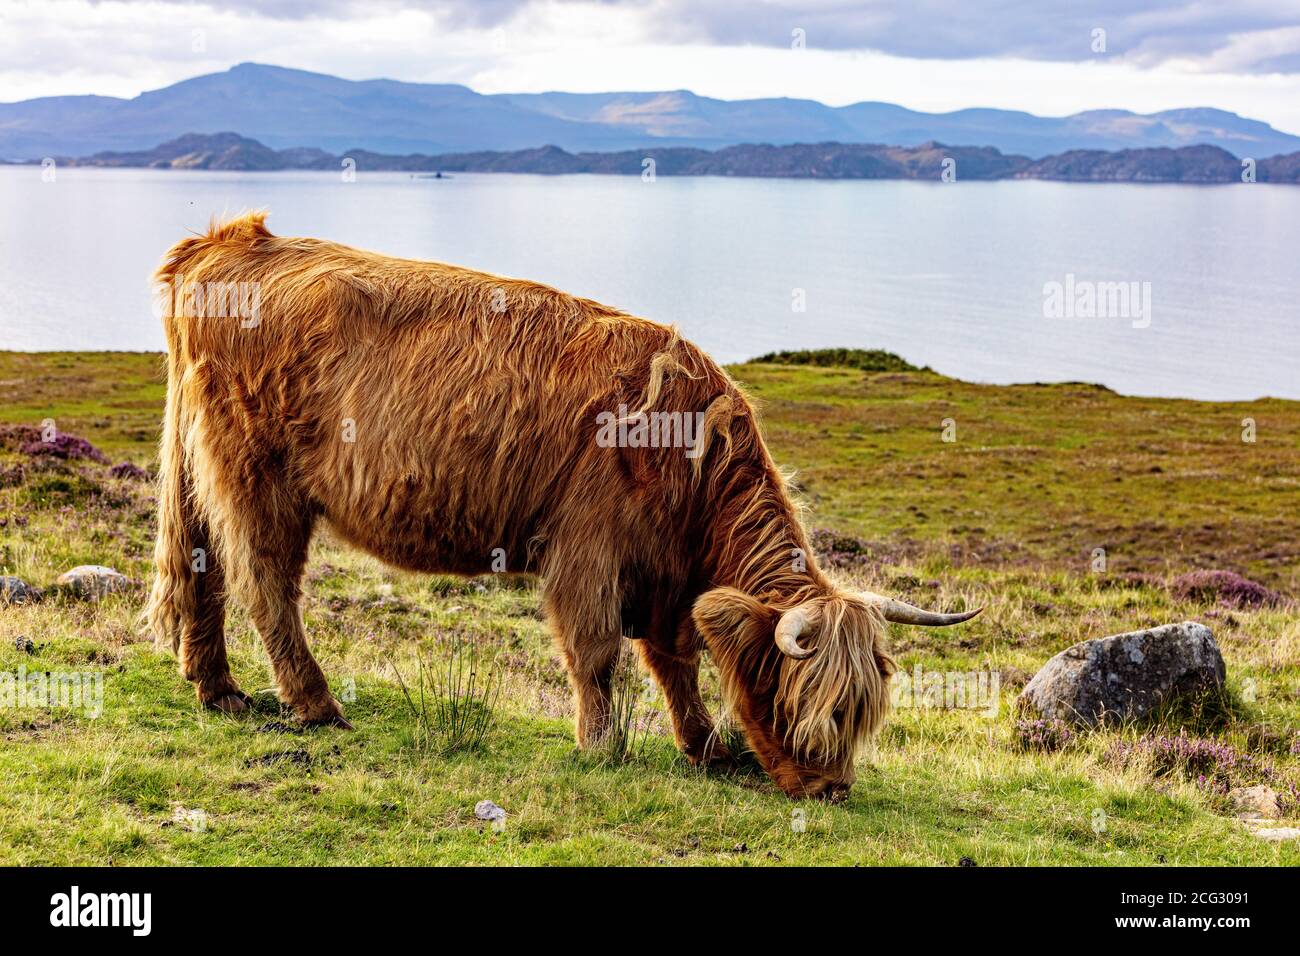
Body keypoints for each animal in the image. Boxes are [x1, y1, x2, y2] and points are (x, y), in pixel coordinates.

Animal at [147, 212, 980, 799]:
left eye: (863, 709)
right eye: (815, 704)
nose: (832, 789)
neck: (692, 461)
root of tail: (226, 242)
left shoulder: (665, 577)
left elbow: (674, 660)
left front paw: (705, 746)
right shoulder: (590, 550)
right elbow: (598, 653)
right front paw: (601, 745)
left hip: (195, 462)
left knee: (200, 567)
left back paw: (217, 689)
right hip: (257, 475)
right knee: (262, 582)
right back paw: (314, 703)